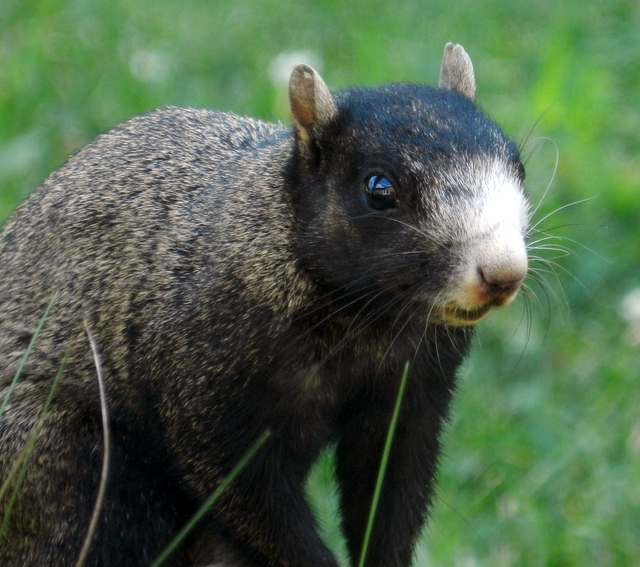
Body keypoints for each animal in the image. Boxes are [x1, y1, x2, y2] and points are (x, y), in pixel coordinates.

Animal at [0, 43, 529, 567]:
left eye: (519, 167)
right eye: (379, 189)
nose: (503, 273)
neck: (367, 320)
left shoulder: (414, 392)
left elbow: (390, 492)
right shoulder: (206, 387)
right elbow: (245, 495)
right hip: (59, 466)